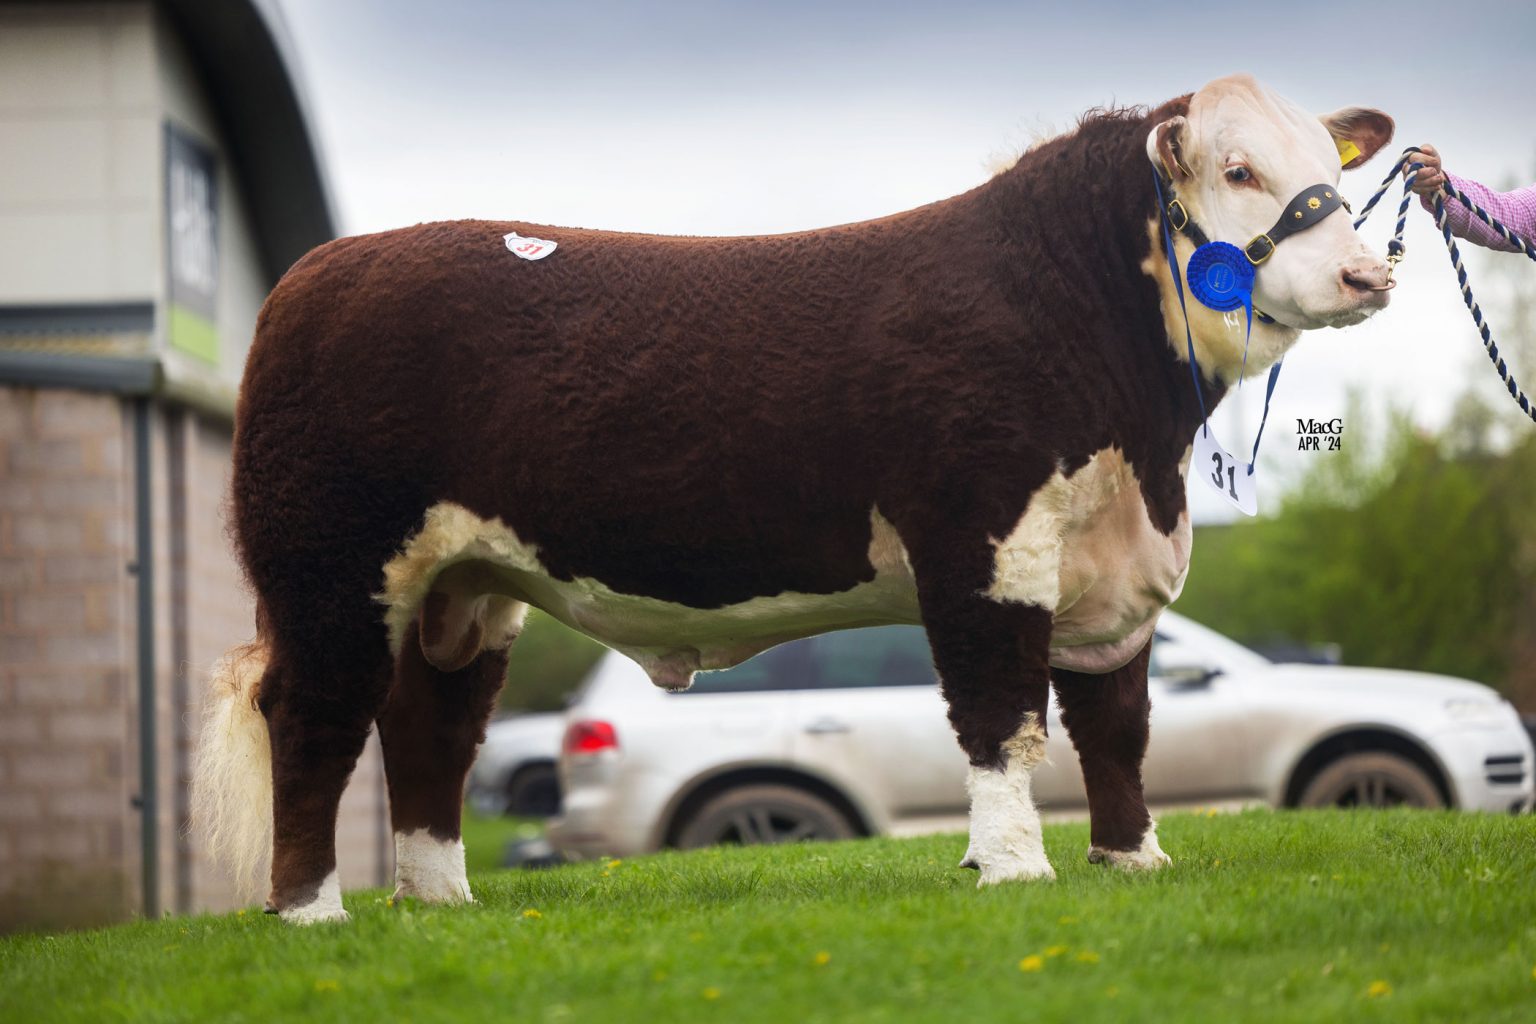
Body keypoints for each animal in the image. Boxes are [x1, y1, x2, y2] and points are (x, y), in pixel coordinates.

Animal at [192, 74, 1394, 923]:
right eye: (1239, 168)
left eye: (1323, 168)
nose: (1366, 274)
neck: (1141, 443)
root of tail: (318, 272)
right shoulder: (981, 543)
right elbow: (1002, 714)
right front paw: (1015, 869)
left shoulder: (1114, 573)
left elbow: (1117, 722)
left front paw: (1132, 857)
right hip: (328, 565)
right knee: (315, 714)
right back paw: (310, 911)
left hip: (465, 582)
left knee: (429, 723)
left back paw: (440, 900)